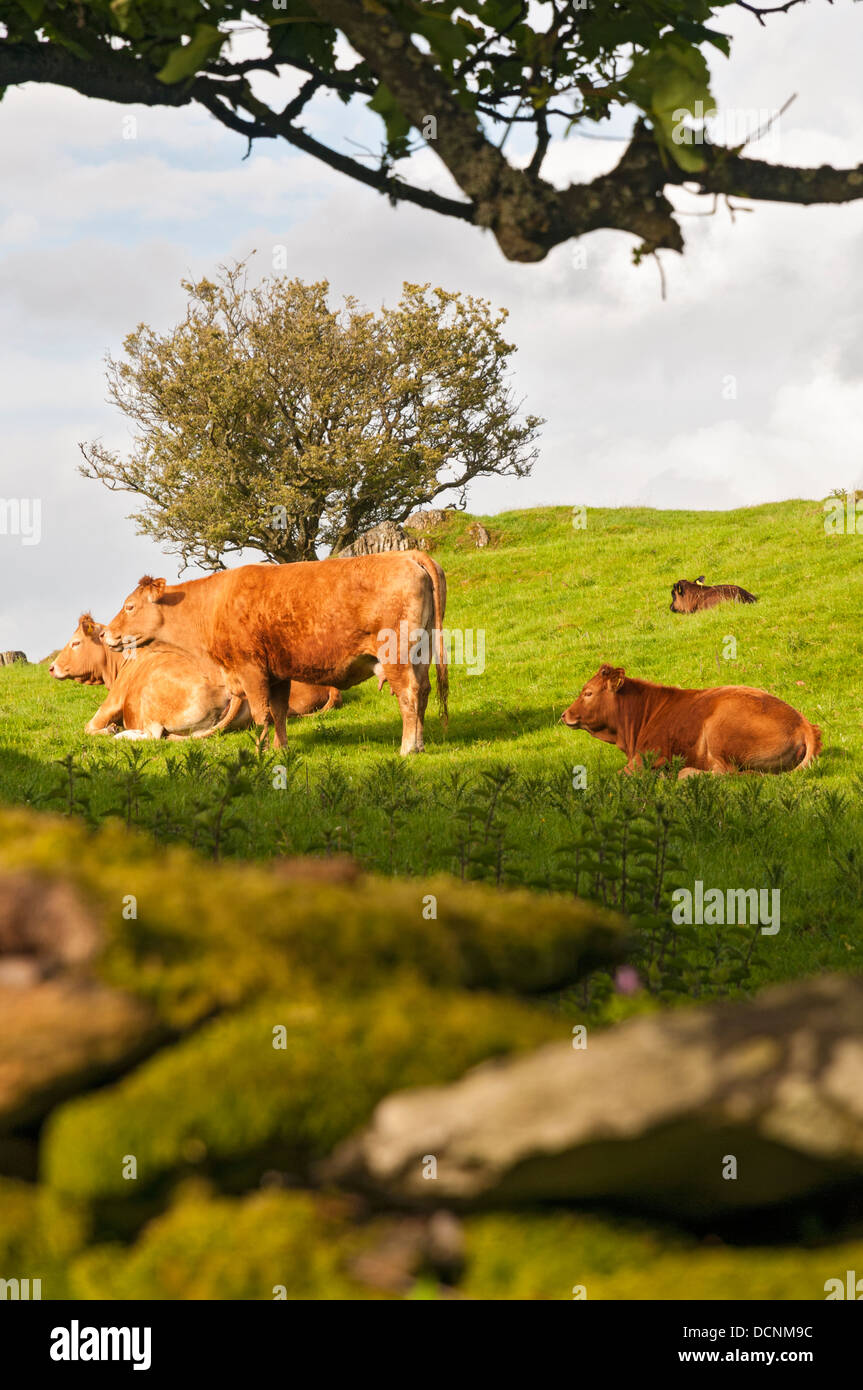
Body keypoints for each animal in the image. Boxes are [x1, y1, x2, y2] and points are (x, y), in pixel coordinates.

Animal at [50, 615, 340, 739]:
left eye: (75, 643)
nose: (52, 667)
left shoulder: (112, 701)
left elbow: (89, 727)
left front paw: (109, 728)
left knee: (154, 735)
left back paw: (121, 734)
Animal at [101, 551, 448, 753]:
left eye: (129, 606)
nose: (105, 633)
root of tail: (407, 554)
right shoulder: (278, 675)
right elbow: (278, 713)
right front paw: (281, 750)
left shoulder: (250, 670)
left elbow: (261, 715)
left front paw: (260, 753)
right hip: (421, 653)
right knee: (424, 691)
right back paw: (420, 745)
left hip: (397, 656)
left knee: (409, 695)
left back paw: (408, 748)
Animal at [561, 664, 821, 778]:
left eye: (588, 693)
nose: (564, 714)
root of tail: (803, 722)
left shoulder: (646, 756)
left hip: (719, 730)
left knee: (725, 773)